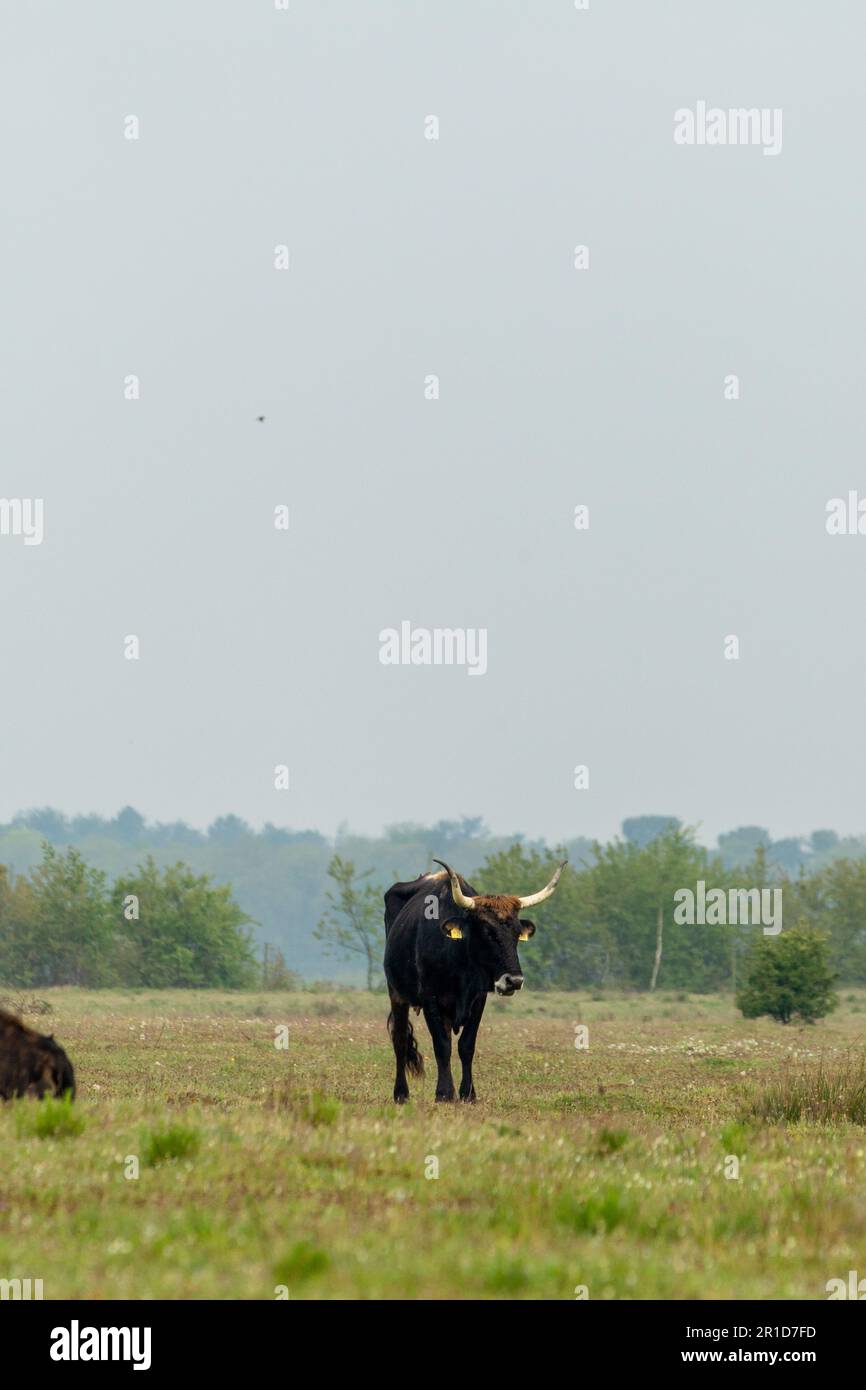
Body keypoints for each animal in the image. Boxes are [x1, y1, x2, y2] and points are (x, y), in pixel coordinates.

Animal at [383, 858, 566, 1103]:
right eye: (487, 932)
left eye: (517, 933)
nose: (514, 980)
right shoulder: (431, 998)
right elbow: (441, 1045)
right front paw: (444, 1093)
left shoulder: (479, 999)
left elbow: (466, 1045)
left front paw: (468, 1093)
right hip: (396, 993)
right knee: (400, 1040)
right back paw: (401, 1093)